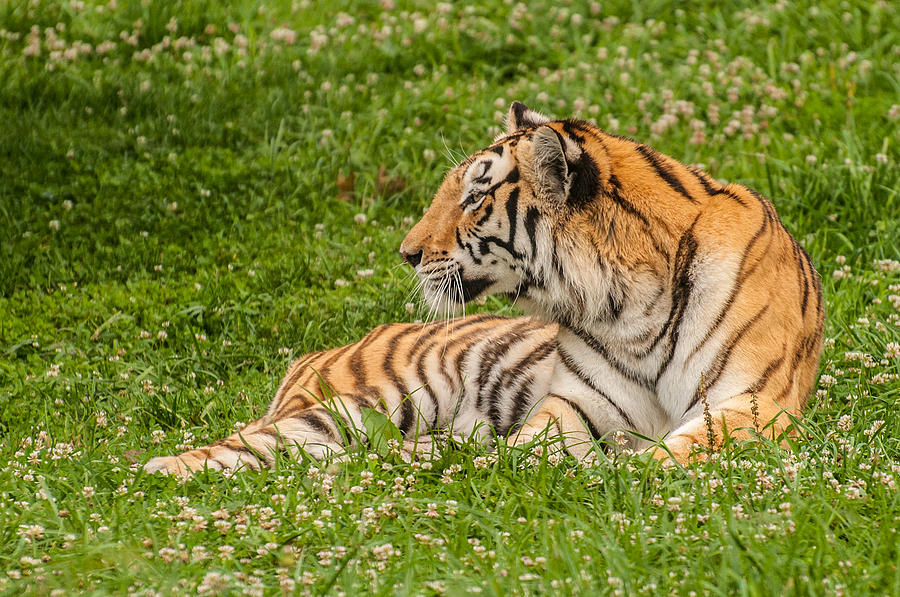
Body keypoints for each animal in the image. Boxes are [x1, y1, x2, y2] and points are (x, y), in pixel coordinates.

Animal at [399, 101, 824, 464]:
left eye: (475, 197)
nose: (406, 253)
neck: (632, 303)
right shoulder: (580, 401)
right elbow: (526, 445)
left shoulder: (757, 401)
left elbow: (677, 453)